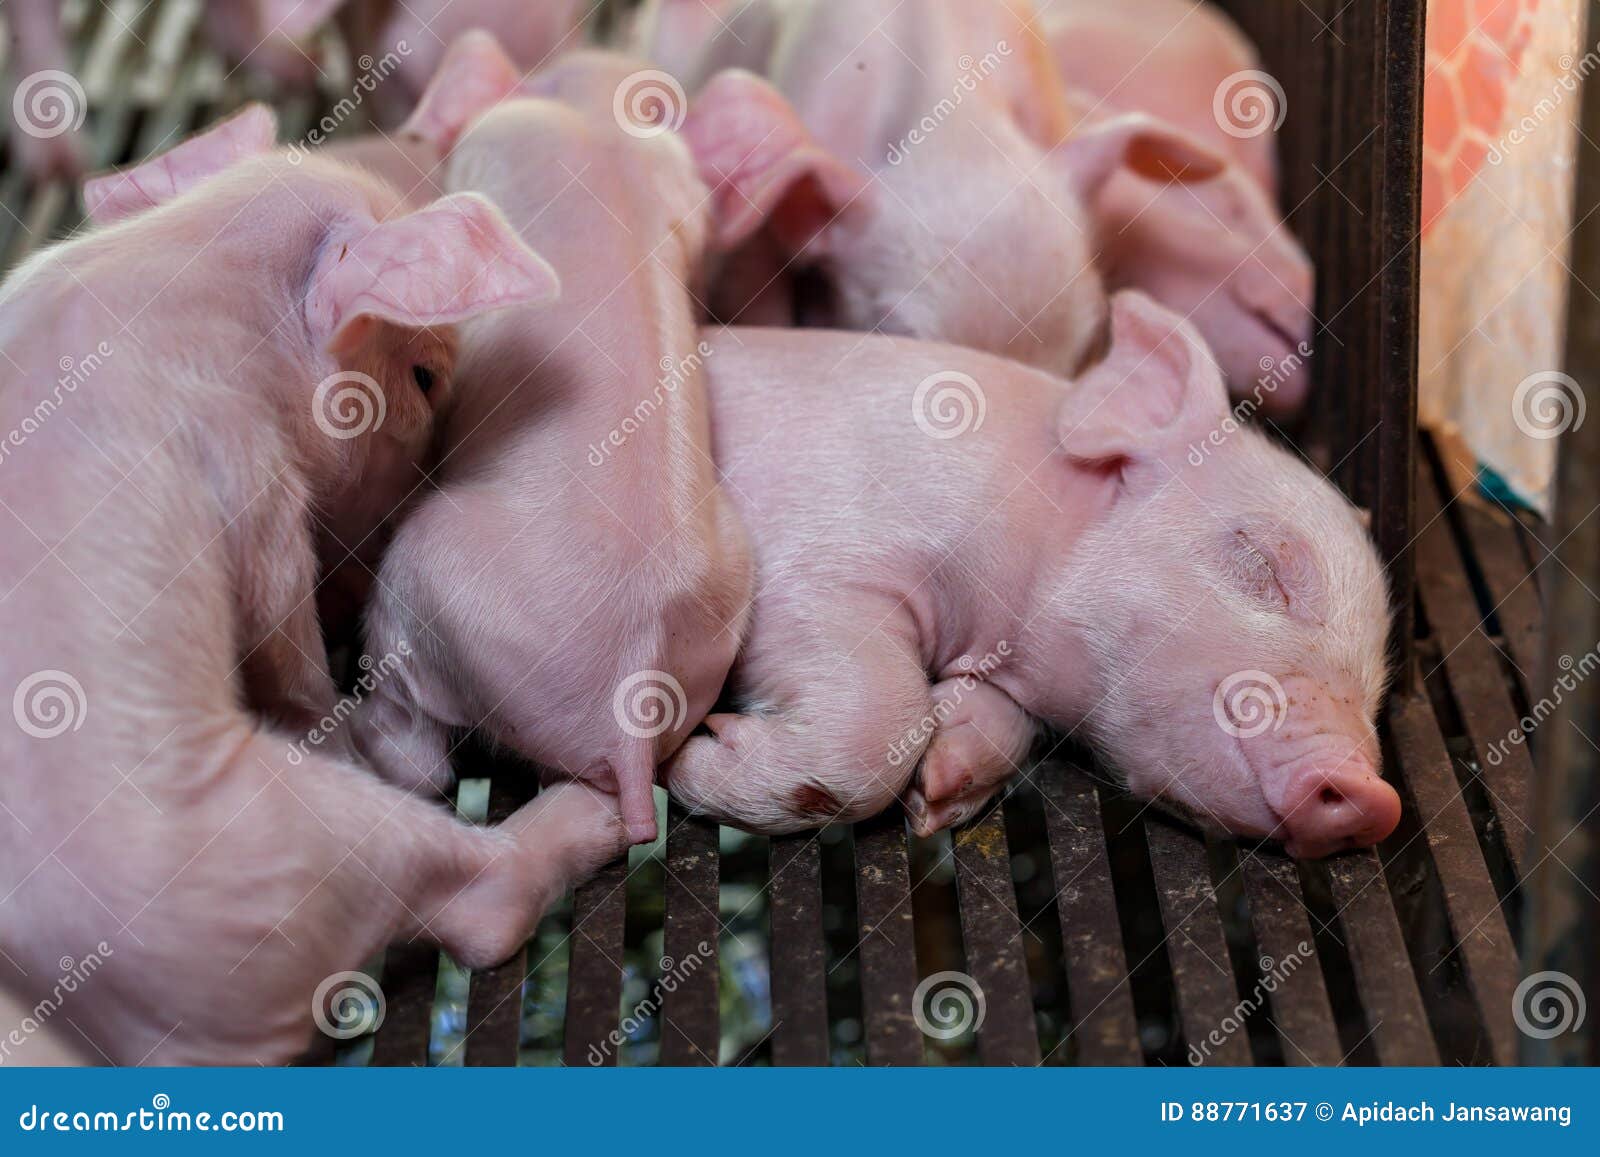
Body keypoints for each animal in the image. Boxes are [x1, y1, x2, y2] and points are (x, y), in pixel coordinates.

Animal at [0, 104, 622, 1065]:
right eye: (424, 376)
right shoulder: (255, 487)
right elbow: (287, 655)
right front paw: (333, 704)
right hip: (282, 852)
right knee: (474, 899)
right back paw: (600, 814)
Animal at [666, 291, 1401, 859]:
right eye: (1262, 562)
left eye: (1378, 680)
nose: (1375, 798)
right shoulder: (809, 559)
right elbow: (881, 712)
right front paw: (694, 757)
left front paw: (938, 790)